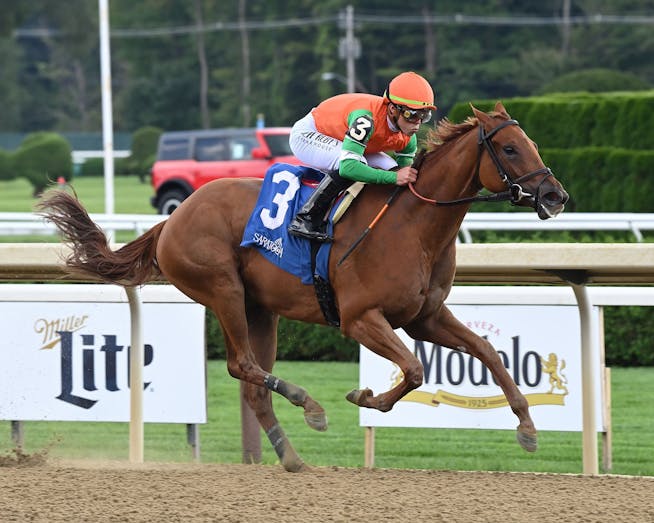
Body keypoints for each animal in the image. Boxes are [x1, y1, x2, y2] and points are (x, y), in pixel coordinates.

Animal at [39, 102, 568, 472]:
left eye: (531, 142)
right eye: (510, 148)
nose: (555, 195)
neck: (413, 226)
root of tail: (173, 218)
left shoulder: (425, 317)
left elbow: (487, 351)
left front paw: (527, 427)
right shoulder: (360, 318)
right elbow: (416, 369)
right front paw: (366, 398)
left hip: (261, 309)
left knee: (253, 385)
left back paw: (292, 457)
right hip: (223, 290)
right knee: (242, 365)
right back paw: (309, 405)